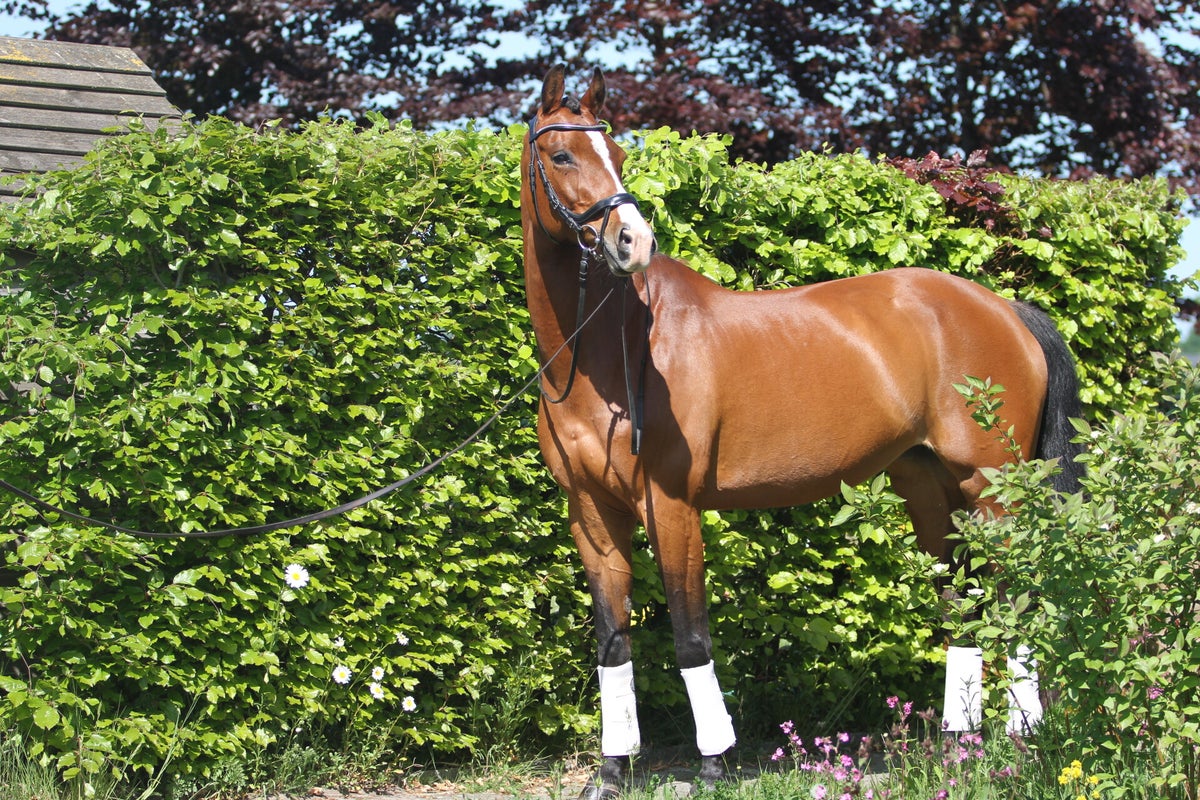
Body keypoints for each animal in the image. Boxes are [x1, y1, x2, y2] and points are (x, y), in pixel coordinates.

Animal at [520, 65, 1084, 799]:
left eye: (616, 154)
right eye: (562, 155)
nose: (632, 241)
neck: (609, 352)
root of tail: (1006, 309)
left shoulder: (670, 506)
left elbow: (690, 634)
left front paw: (715, 761)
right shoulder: (591, 512)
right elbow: (613, 641)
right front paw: (613, 770)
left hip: (995, 489)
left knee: (1023, 592)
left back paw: (1022, 738)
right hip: (932, 490)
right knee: (964, 602)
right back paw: (960, 748)